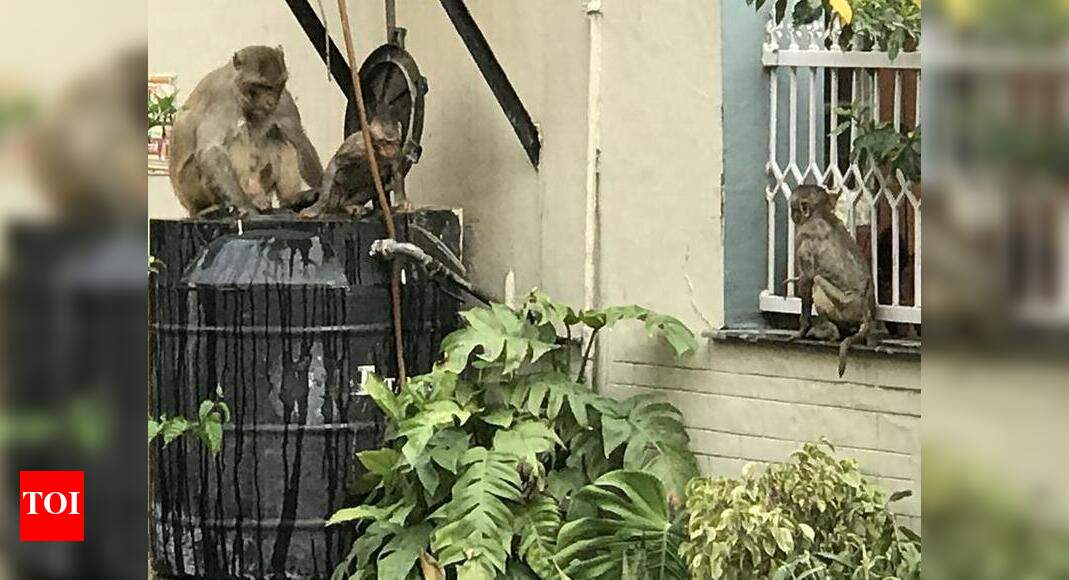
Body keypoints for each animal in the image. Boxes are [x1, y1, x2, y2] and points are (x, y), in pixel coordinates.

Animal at [169, 45, 323, 217]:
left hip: (262, 181)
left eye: (276, 85)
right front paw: (245, 206)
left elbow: (298, 137)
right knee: (237, 135)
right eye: (260, 86)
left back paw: (290, 199)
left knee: (279, 136)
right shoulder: (221, 97)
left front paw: (322, 189)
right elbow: (211, 148)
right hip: (196, 189)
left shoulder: (284, 98)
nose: (270, 102)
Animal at [789, 185, 877, 377]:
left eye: (794, 209)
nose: (792, 216)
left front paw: (802, 330)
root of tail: (865, 311)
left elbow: (807, 281)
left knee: (817, 280)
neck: (821, 214)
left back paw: (831, 333)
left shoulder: (803, 242)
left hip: (844, 307)